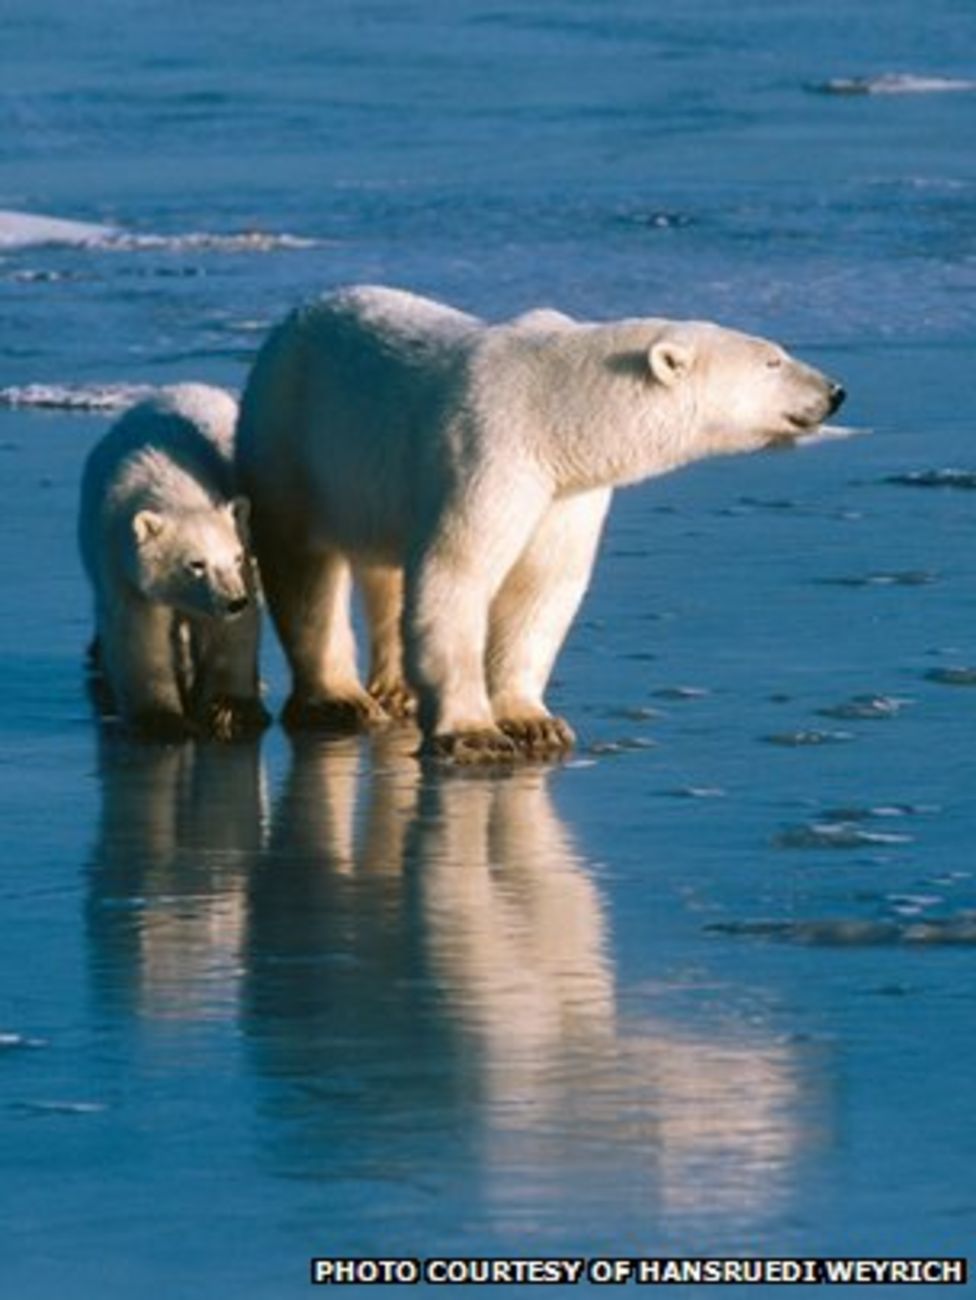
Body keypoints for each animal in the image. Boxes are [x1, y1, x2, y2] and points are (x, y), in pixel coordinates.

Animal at [79, 383, 270, 741]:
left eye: (235, 557)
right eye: (196, 563)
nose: (234, 601)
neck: (169, 482)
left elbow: (233, 632)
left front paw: (230, 709)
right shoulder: (119, 564)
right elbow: (138, 633)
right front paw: (161, 719)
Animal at [236, 286, 845, 762]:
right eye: (773, 361)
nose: (836, 392)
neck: (551, 409)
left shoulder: (566, 492)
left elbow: (541, 587)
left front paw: (534, 723)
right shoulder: (487, 449)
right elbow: (457, 572)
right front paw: (474, 734)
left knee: (384, 570)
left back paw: (397, 691)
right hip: (289, 438)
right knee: (303, 569)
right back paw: (337, 698)